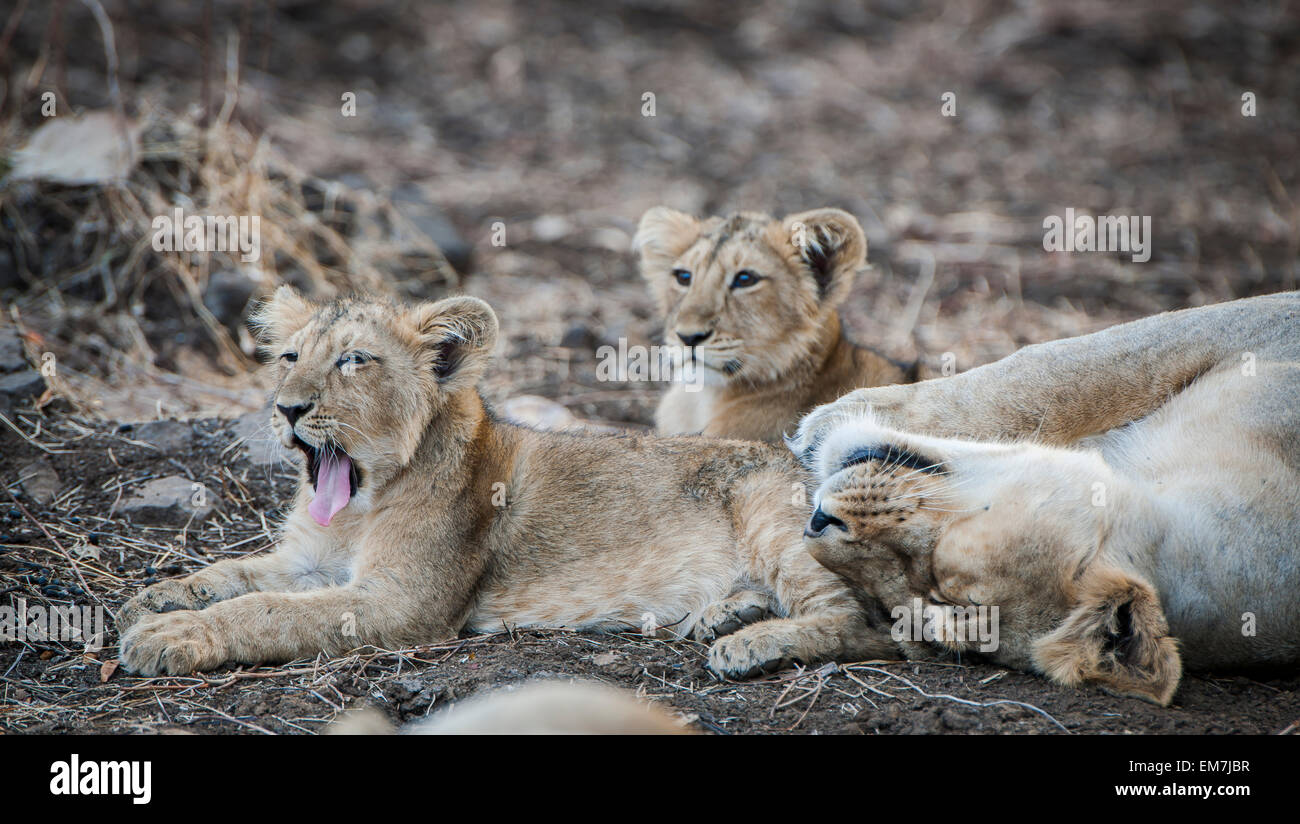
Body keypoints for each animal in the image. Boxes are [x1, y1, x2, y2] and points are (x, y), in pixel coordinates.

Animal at [116, 288, 894, 679]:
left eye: (354, 361)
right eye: (288, 358)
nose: (287, 408)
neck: (360, 503)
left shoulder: (403, 604)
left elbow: (268, 611)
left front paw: (169, 635)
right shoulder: (310, 562)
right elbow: (243, 575)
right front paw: (164, 594)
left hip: (770, 511)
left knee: (869, 624)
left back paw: (749, 645)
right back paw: (725, 614)